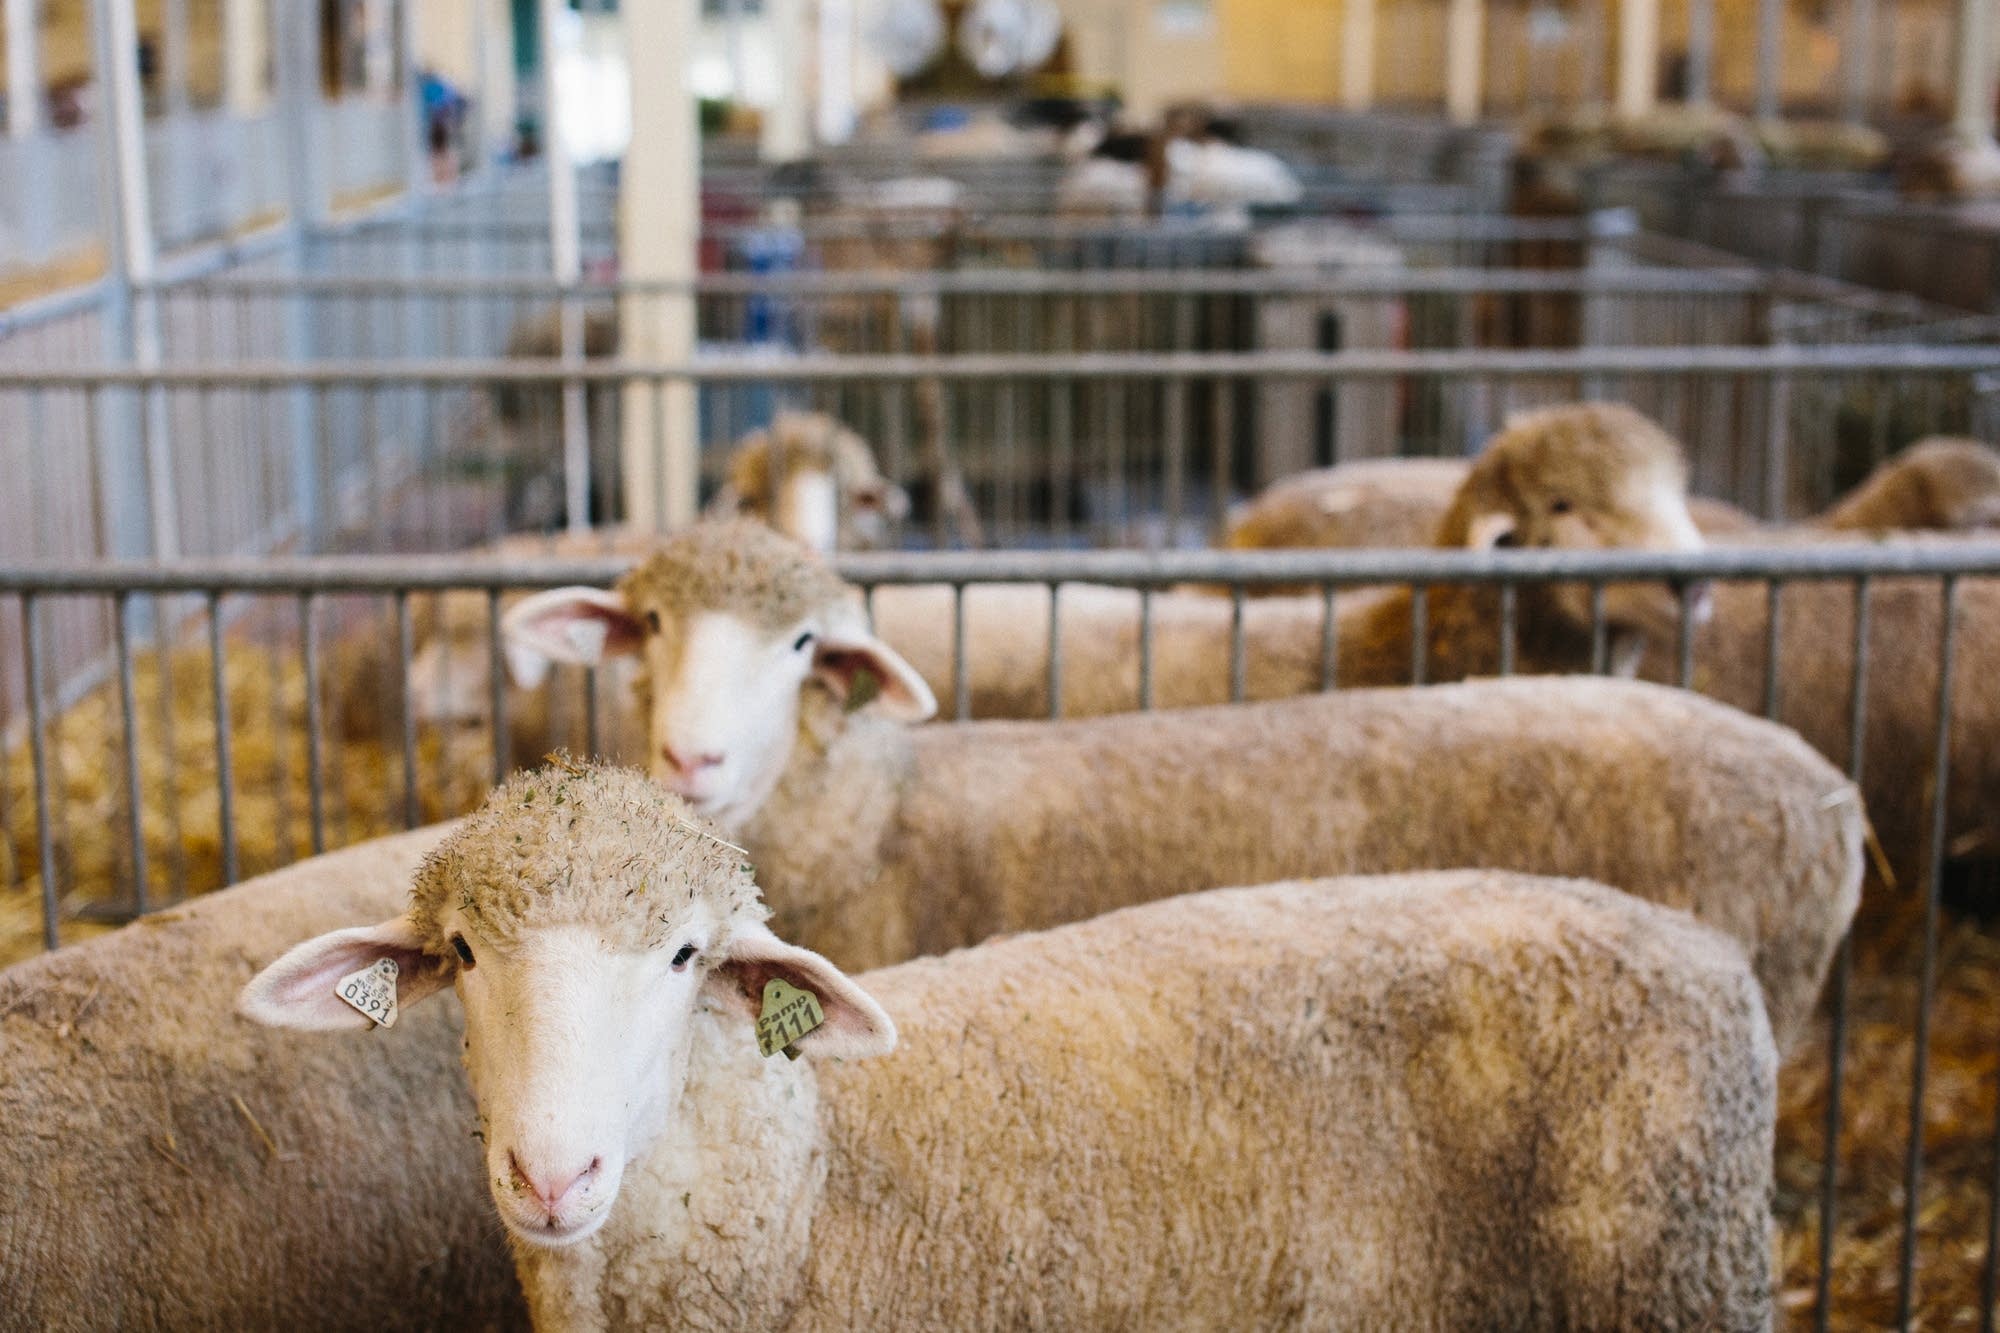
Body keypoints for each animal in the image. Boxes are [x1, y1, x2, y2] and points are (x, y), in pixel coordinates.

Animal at [241, 765, 1778, 1332]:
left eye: (685, 958)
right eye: (463, 954)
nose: (553, 1176)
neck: (803, 1187)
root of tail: (1711, 956)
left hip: (1674, 1280)